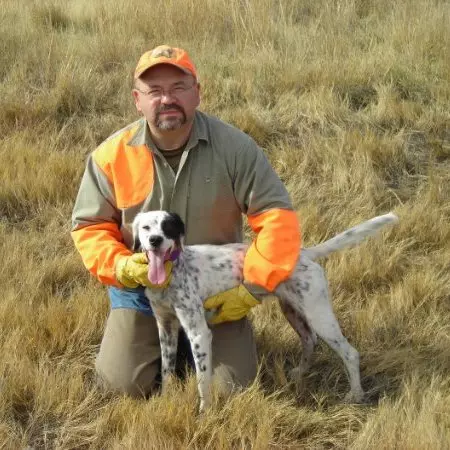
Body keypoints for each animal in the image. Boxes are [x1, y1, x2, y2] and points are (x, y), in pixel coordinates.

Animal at [133, 211, 398, 412]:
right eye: (146, 227)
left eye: (167, 227)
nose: (155, 240)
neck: (172, 272)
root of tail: (304, 254)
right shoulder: (166, 327)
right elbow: (167, 371)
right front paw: (165, 400)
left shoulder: (199, 333)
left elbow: (202, 381)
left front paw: (203, 414)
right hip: (294, 311)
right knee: (309, 340)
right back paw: (300, 372)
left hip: (320, 316)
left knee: (350, 353)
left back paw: (356, 395)